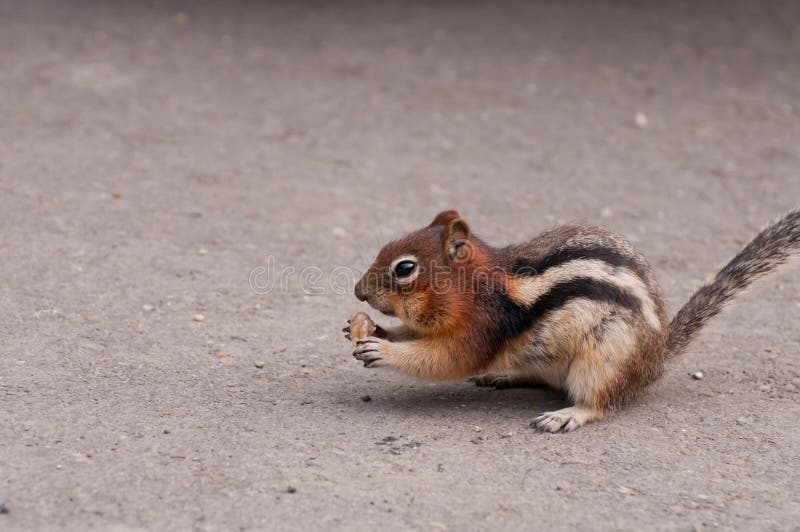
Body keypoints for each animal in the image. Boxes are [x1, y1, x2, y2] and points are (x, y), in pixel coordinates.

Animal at [343, 209, 800, 432]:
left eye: (405, 268)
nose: (359, 292)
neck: (474, 287)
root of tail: (656, 359)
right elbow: (414, 333)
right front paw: (370, 329)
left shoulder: (479, 328)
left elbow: (445, 359)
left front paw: (381, 349)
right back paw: (505, 376)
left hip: (605, 357)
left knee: (600, 402)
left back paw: (568, 415)